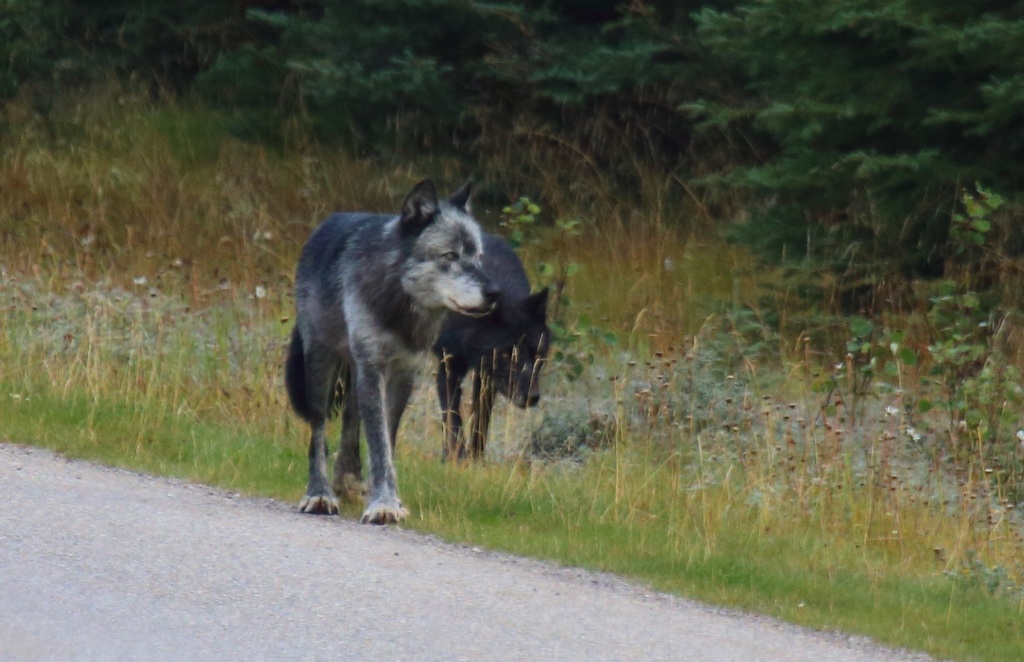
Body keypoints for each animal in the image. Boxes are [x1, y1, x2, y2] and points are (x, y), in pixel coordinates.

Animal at [285, 180, 498, 524]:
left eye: (478, 257)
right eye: (450, 255)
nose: (494, 293)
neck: (400, 305)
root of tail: (326, 224)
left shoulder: (403, 373)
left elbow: (387, 438)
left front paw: (387, 498)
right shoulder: (373, 369)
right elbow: (378, 442)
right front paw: (383, 504)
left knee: (350, 419)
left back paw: (347, 480)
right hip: (321, 366)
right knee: (318, 433)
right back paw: (320, 494)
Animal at [433, 233, 550, 460]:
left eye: (537, 354)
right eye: (505, 355)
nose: (531, 397)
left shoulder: (487, 377)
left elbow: (481, 419)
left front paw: (476, 458)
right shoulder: (448, 363)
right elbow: (452, 415)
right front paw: (457, 457)